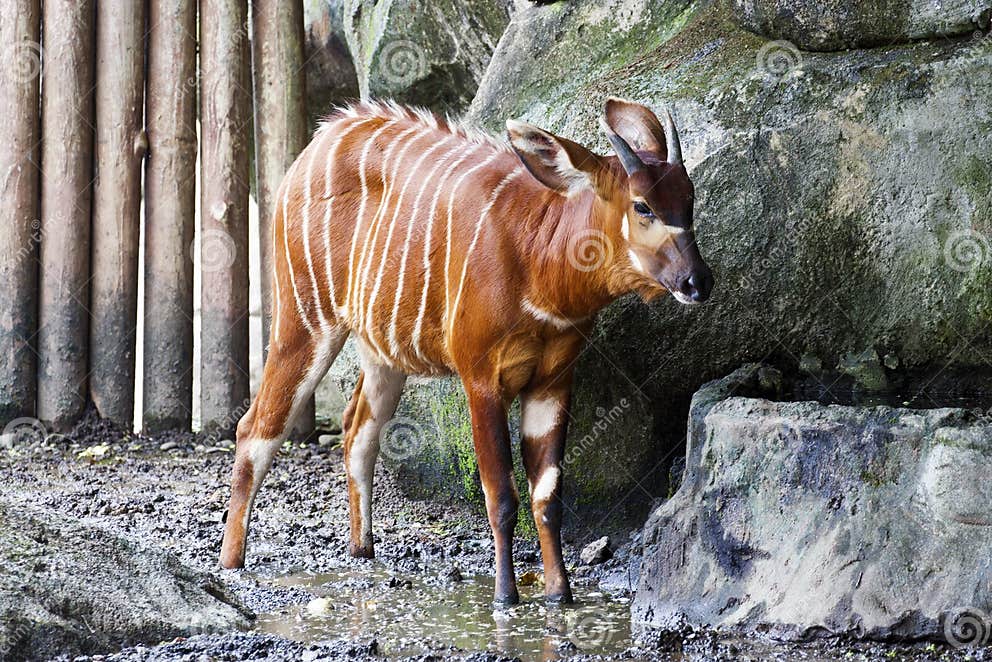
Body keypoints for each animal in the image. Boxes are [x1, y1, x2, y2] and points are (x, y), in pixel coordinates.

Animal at [219, 97, 713, 605]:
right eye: (642, 205)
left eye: (689, 198)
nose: (698, 281)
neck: (539, 257)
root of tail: (317, 142)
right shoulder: (481, 377)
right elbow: (501, 496)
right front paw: (505, 597)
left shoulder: (553, 380)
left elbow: (547, 496)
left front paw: (559, 594)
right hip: (304, 322)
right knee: (256, 428)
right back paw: (230, 565)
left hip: (382, 352)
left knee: (358, 432)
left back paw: (363, 550)